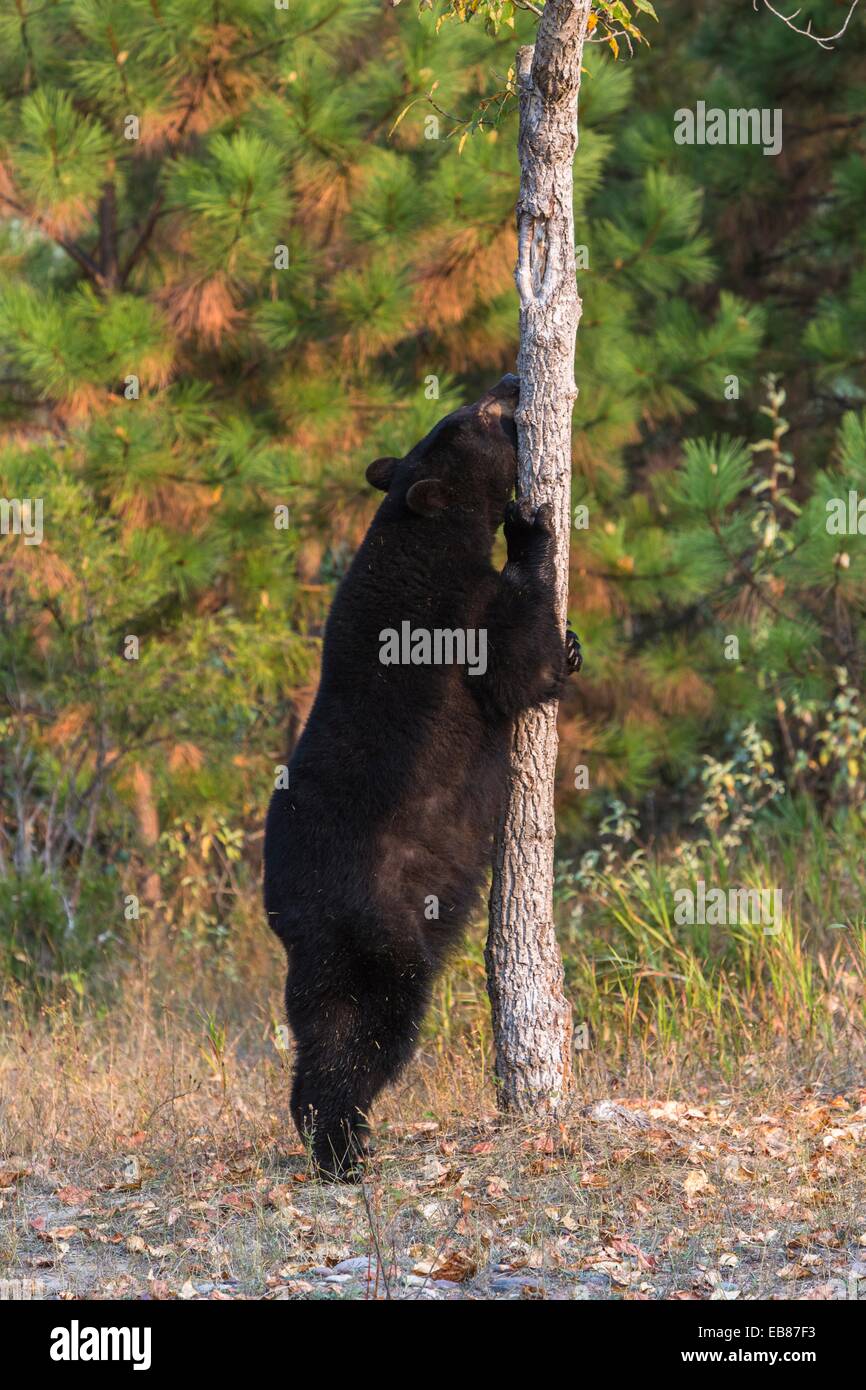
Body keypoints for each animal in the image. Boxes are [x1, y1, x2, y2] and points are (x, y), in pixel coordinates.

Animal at [264, 374, 581, 1178]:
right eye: (485, 416)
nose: (512, 380)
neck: (423, 534)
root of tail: (289, 914)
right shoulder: (455, 615)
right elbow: (512, 669)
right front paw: (530, 531)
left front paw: (572, 640)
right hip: (382, 924)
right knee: (372, 1030)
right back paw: (343, 1145)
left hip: (330, 956)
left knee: (323, 1027)